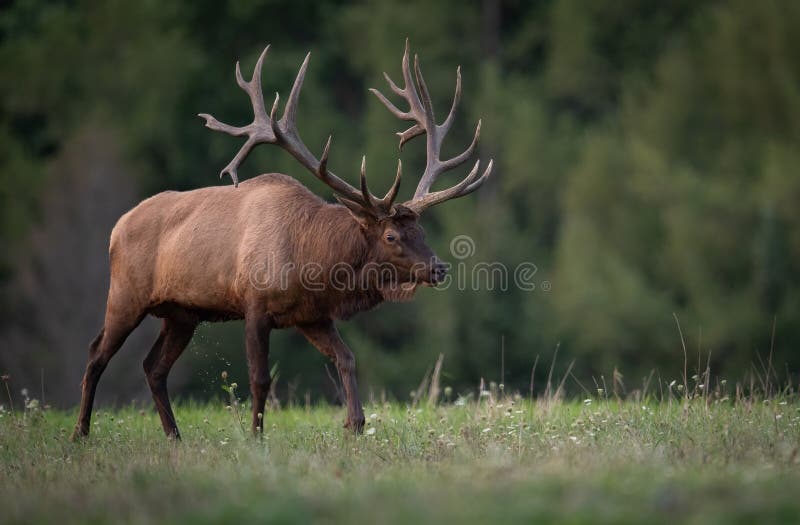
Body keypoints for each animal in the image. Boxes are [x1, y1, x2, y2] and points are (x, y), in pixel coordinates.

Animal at [72, 40, 492, 440]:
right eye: (391, 235)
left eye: (421, 231)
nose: (438, 269)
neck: (313, 262)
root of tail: (116, 227)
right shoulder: (255, 305)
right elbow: (260, 378)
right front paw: (257, 437)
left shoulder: (312, 315)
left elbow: (347, 358)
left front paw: (355, 424)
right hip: (126, 294)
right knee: (96, 354)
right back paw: (81, 432)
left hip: (181, 313)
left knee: (153, 367)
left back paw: (175, 436)